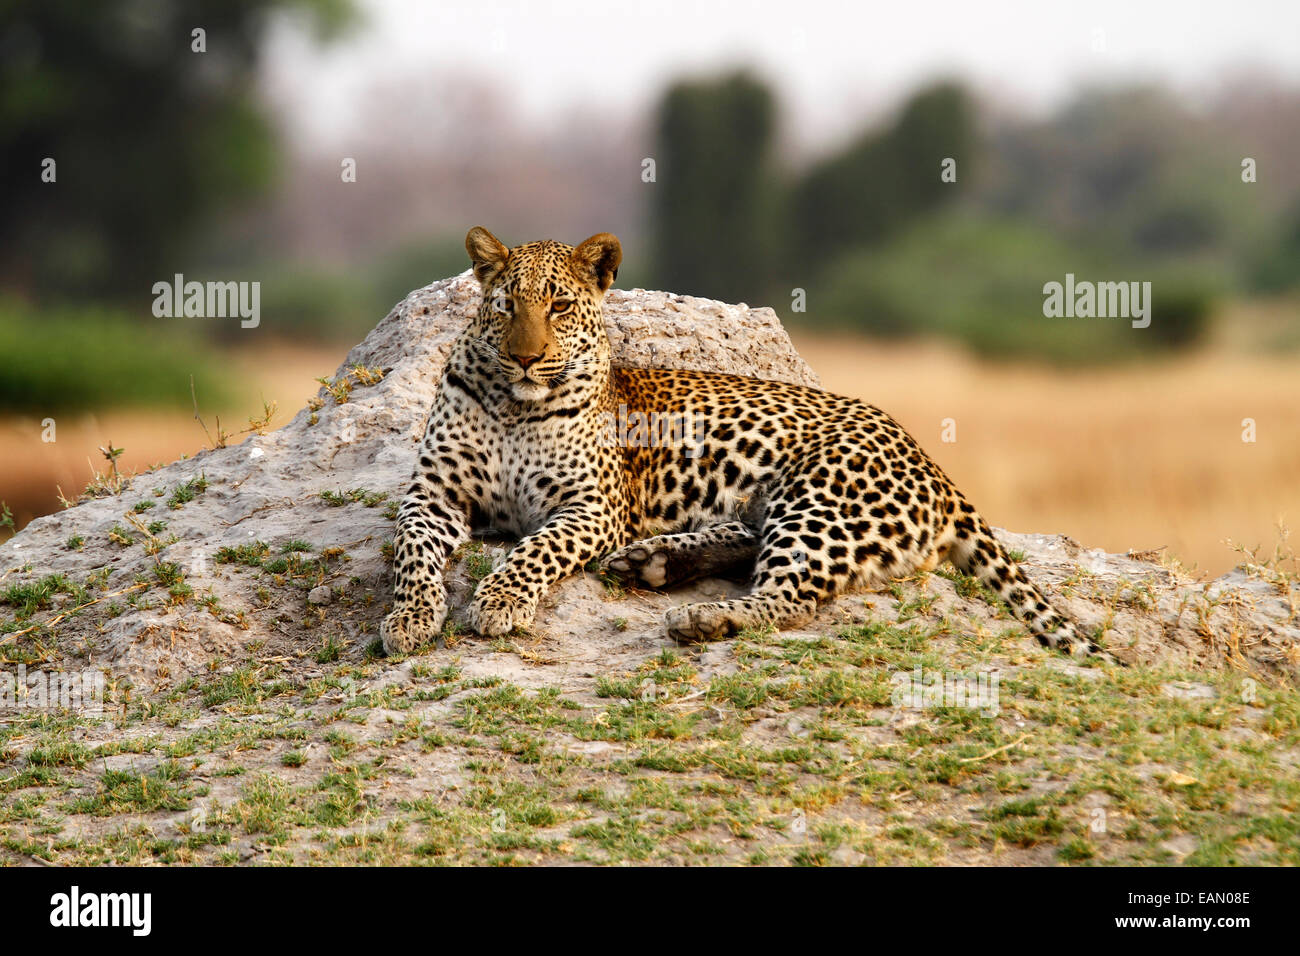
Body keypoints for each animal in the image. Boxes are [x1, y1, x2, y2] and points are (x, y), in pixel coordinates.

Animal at [380, 226, 1113, 663]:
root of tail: (936, 467)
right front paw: (411, 618)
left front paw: (499, 602)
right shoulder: (433, 494)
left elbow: (536, 550)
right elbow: (414, 554)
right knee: (752, 543)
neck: (514, 405)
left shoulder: (593, 505)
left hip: (819, 495)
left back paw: (702, 619)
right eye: (506, 306)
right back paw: (653, 564)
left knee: (795, 594)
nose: (526, 357)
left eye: (559, 306)